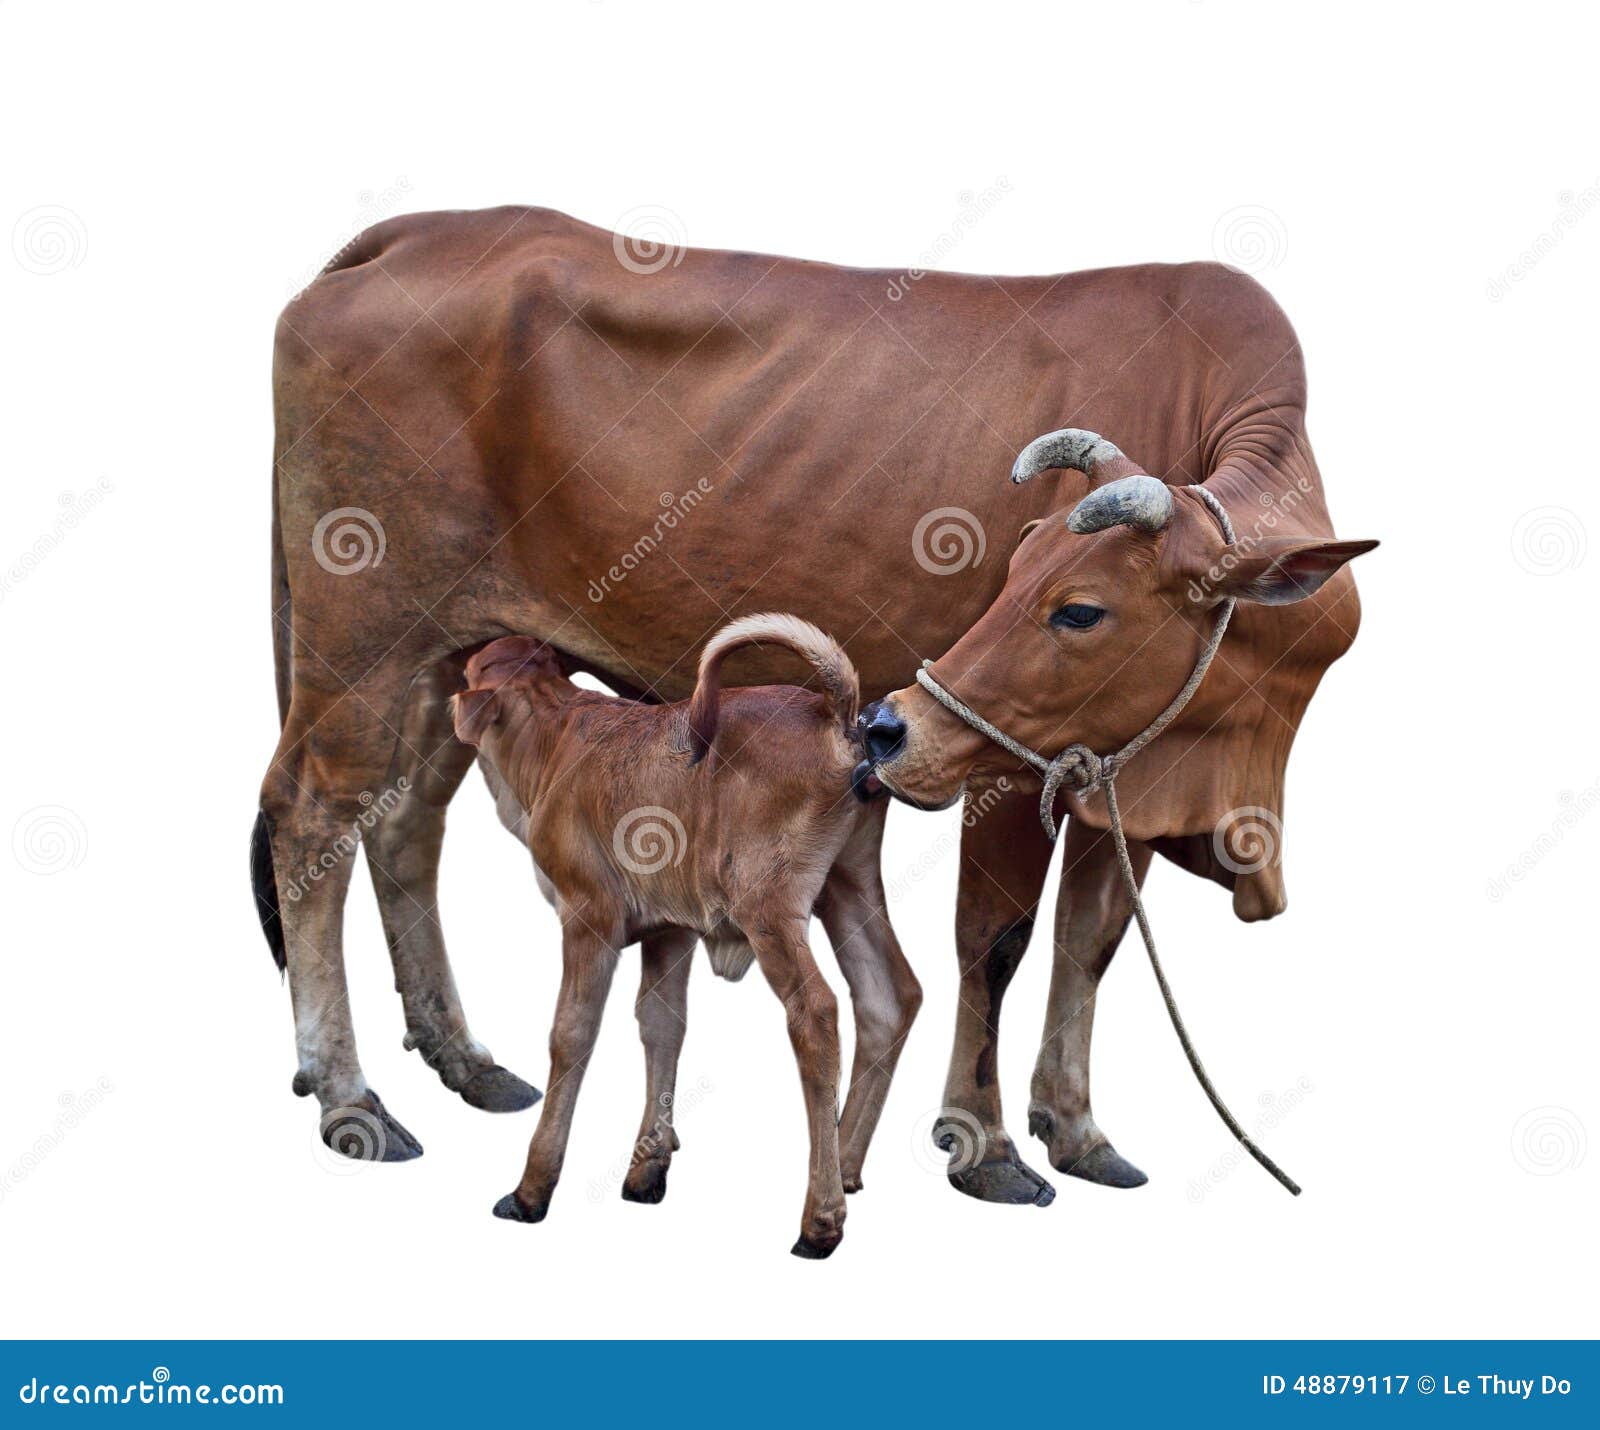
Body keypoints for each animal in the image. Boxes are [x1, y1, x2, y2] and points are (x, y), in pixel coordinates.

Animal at [255, 205, 1367, 1204]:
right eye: (1009, 572)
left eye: (1080, 608)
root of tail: (409, 232)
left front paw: (1079, 1128)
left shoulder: (1113, 768)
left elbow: (1086, 941)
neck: (1224, 770)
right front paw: (985, 1143)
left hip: (450, 654)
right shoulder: (1011, 768)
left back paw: (462, 1056)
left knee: (406, 821)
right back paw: (351, 1096)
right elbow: (995, 940)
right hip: (361, 638)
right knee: (313, 818)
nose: (890, 722)